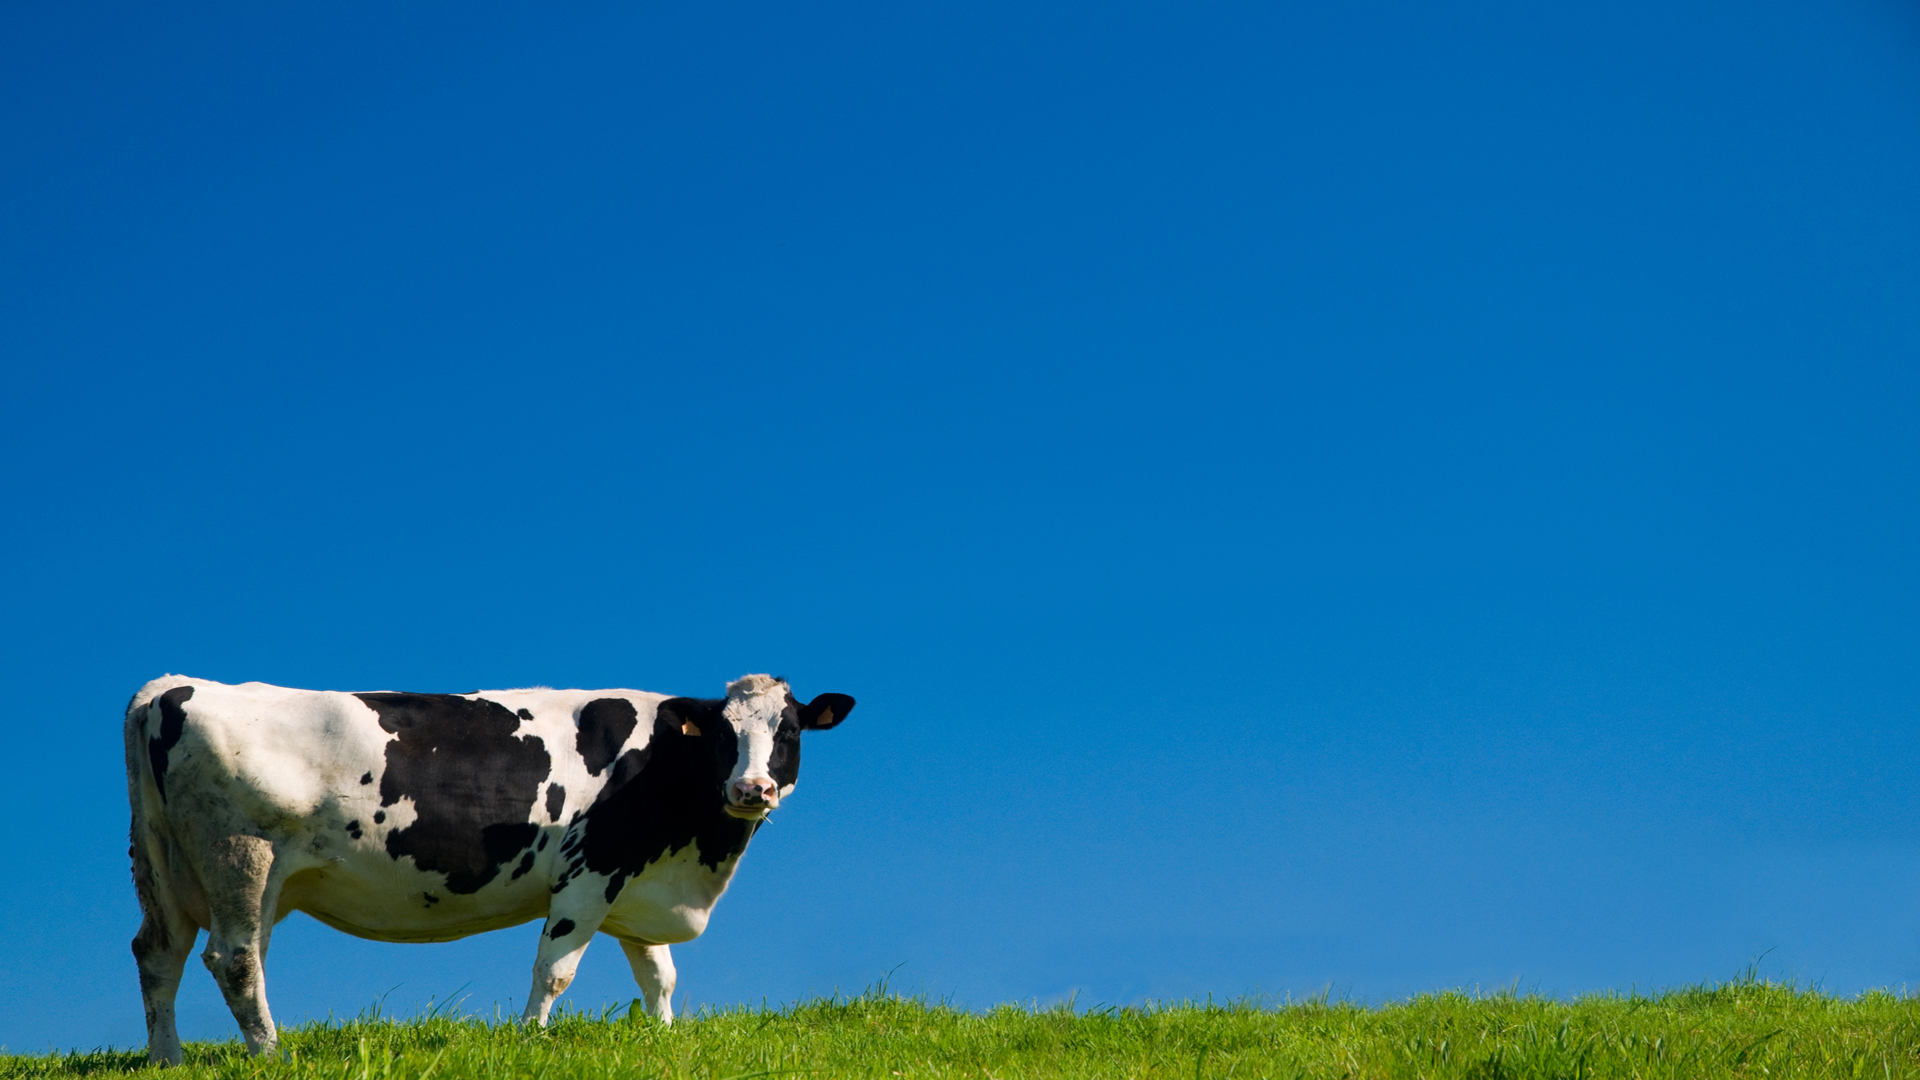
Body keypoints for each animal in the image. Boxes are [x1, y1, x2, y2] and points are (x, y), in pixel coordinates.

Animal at [124, 672, 854, 1063]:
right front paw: (532, 1038)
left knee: (160, 953)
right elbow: (555, 970)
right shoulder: (590, 871)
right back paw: (271, 1055)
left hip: (166, 868)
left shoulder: (634, 879)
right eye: (727, 735)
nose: (751, 788)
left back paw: (167, 1060)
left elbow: (659, 975)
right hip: (241, 858)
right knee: (236, 958)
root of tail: (174, 687)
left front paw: (662, 1037)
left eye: (788, 731)